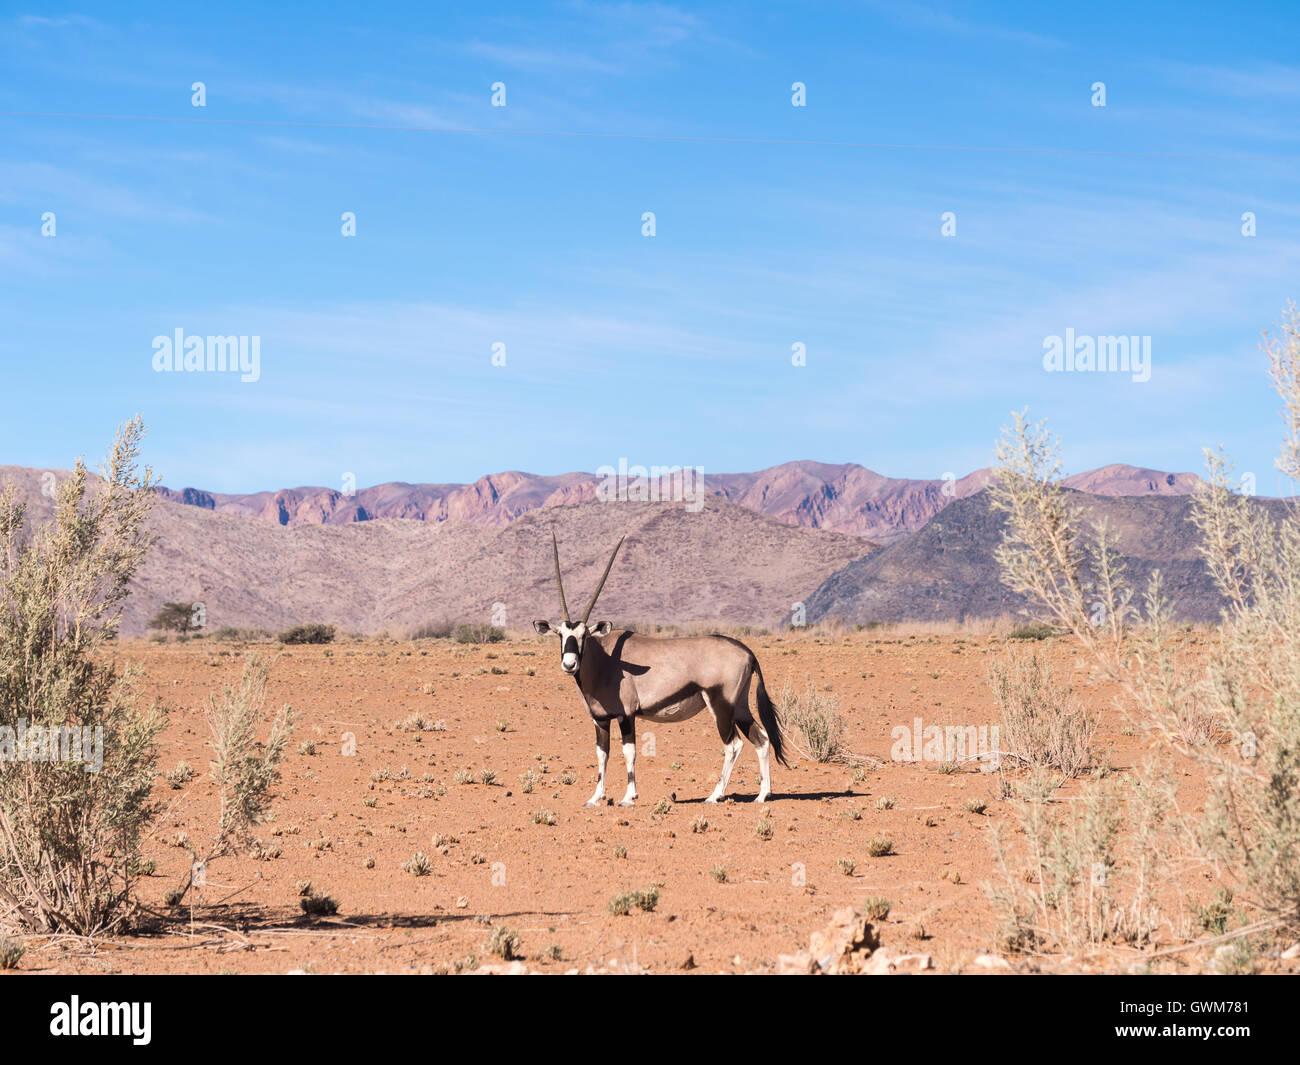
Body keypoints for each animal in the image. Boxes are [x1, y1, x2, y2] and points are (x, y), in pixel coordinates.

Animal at [533, 533, 788, 806]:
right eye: (561, 634)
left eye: (584, 636)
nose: (569, 664)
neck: (604, 660)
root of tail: (747, 651)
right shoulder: (600, 719)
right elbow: (602, 754)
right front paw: (595, 798)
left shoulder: (626, 715)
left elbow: (629, 752)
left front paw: (629, 797)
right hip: (739, 706)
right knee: (761, 739)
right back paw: (762, 795)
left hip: (721, 705)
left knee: (733, 745)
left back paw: (714, 795)